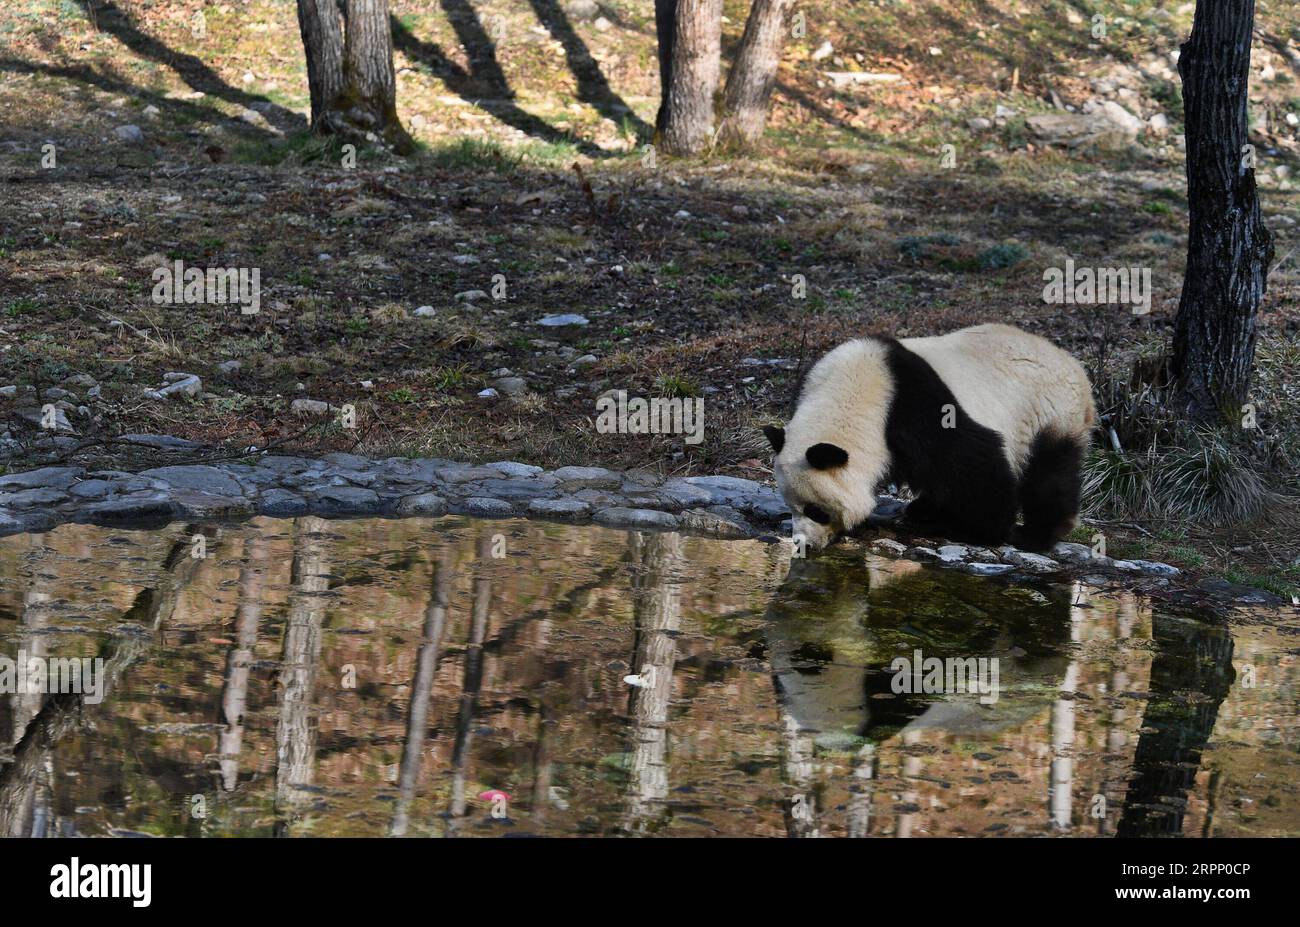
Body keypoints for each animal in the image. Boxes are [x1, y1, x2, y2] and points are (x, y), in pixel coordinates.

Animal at [763, 323, 1096, 552]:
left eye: (816, 511)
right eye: (791, 506)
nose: (803, 544)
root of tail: (1075, 367)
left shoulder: (922, 409)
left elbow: (973, 465)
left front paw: (986, 531)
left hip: (1051, 413)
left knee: (1050, 474)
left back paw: (1037, 534)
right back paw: (922, 511)